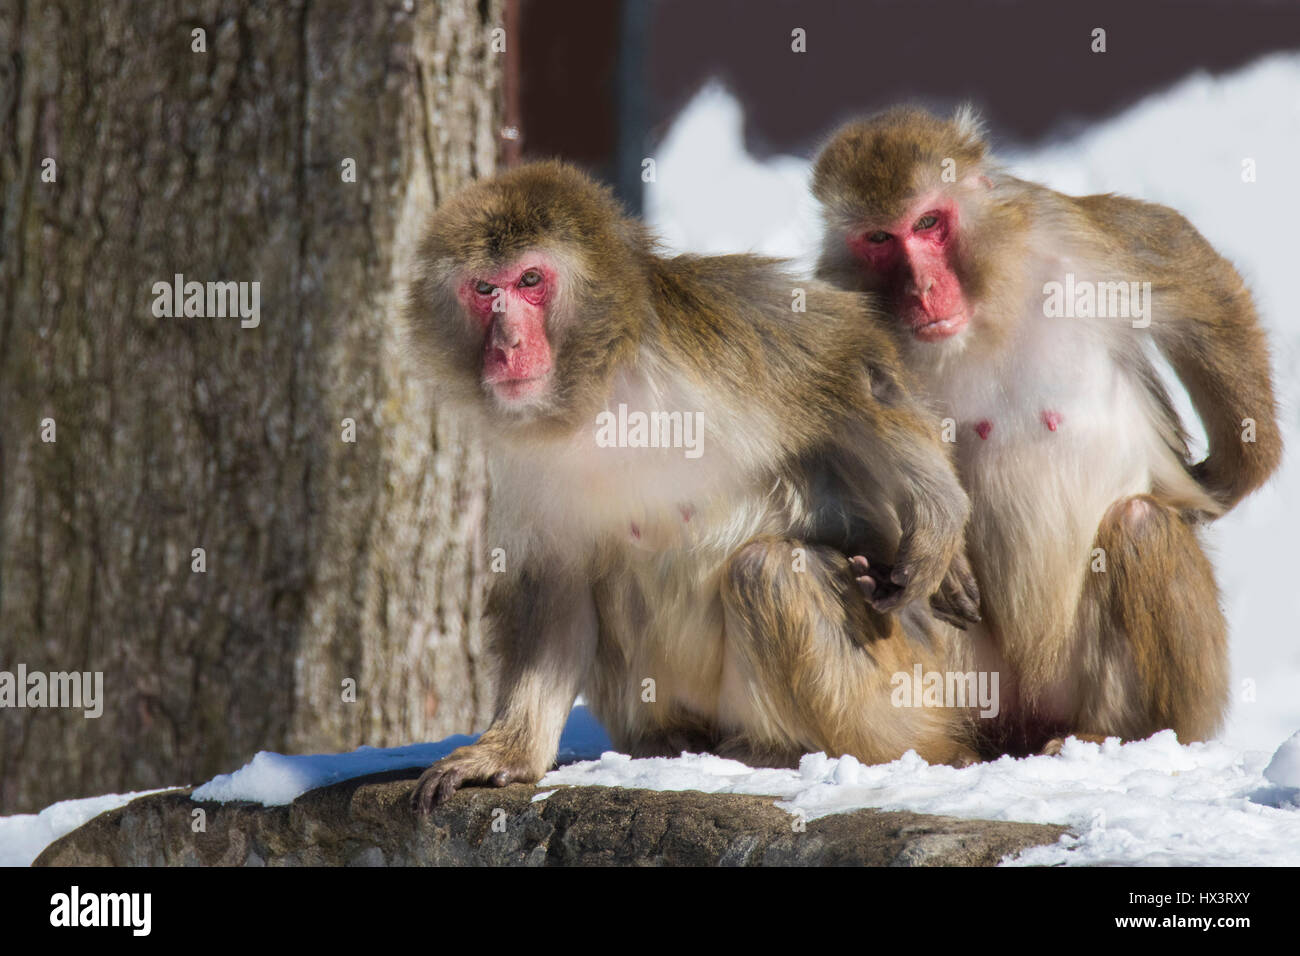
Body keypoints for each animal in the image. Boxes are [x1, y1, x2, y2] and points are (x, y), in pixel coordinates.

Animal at [403, 160, 984, 810]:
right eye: (484, 290)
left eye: (531, 280)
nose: (507, 345)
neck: (597, 398)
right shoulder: (522, 456)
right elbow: (552, 587)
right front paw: (506, 753)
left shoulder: (715, 335)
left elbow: (850, 362)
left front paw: (940, 521)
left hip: (909, 692)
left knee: (769, 571)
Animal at [811, 106, 1282, 757]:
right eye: (880, 240)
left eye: (928, 223)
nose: (923, 289)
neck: (980, 315)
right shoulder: (836, 314)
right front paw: (942, 552)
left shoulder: (1072, 239)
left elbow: (1191, 272)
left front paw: (1233, 476)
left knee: (1140, 526)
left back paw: (1120, 737)